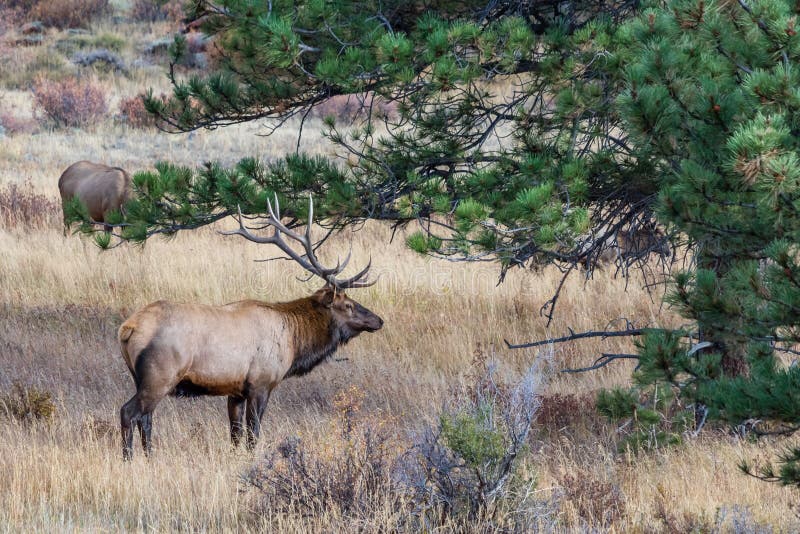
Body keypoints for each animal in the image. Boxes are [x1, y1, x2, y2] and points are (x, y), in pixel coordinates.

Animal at [117, 196, 383, 460]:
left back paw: (149, 457)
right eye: (348, 305)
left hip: (140, 378)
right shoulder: (261, 384)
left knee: (146, 420)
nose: (378, 320)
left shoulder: (236, 391)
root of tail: (127, 329)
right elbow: (253, 434)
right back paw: (129, 459)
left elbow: (235, 435)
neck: (293, 341)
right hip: (160, 375)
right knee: (129, 412)